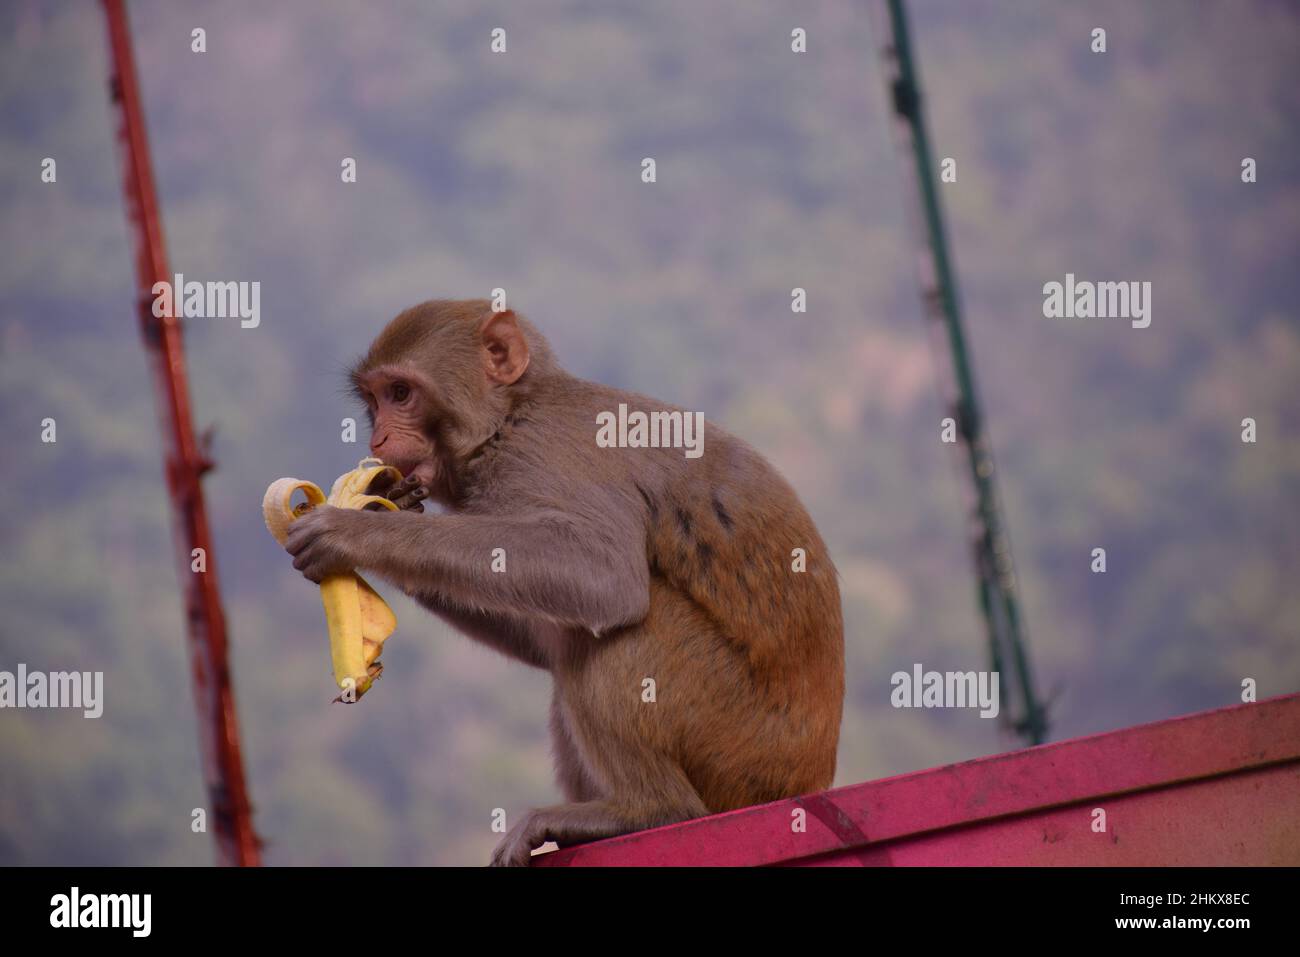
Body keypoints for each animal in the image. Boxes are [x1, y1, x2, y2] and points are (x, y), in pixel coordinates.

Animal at [284, 299, 844, 866]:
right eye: (373, 401)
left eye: (401, 393)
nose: (376, 438)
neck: (508, 419)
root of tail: (805, 782)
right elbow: (540, 640)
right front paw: (394, 507)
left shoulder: (543, 458)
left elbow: (604, 578)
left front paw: (356, 533)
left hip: (735, 740)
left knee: (611, 635)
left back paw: (648, 811)